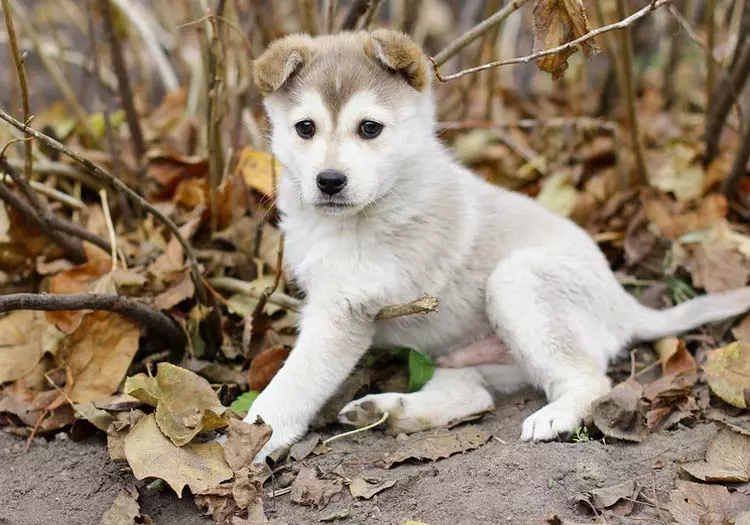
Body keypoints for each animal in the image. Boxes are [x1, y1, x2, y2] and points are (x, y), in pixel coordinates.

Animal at [245, 30, 750, 460]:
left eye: (370, 128)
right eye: (305, 128)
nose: (329, 181)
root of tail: (624, 303)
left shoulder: (343, 312)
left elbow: (293, 384)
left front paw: (255, 436)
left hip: (517, 282)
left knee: (589, 380)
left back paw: (555, 417)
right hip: (463, 354)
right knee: (473, 396)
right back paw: (389, 412)